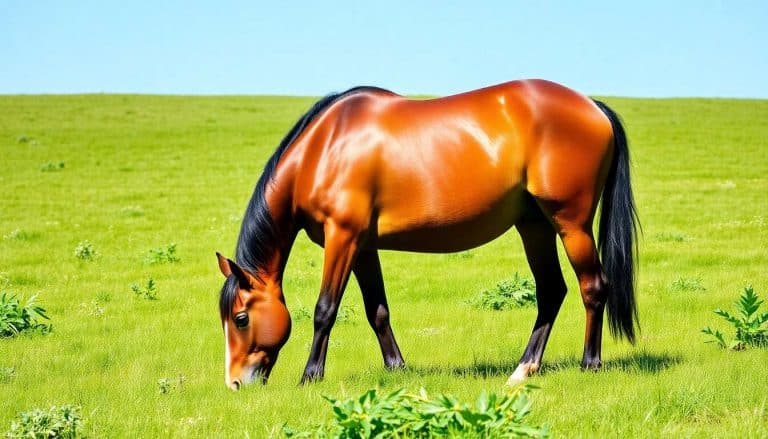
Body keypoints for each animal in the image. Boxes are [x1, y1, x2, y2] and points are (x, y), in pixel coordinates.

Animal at [216, 79, 639, 390]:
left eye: (240, 318)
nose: (235, 384)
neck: (324, 148)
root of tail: (593, 106)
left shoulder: (343, 237)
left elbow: (325, 310)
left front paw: (310, 376)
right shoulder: (363, 246)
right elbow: (377, 311)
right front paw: (397, 367)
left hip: (571, 224)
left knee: (592, 287)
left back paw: (590, 364)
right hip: (534, 225)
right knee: (552, 291)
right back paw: (523, 369)